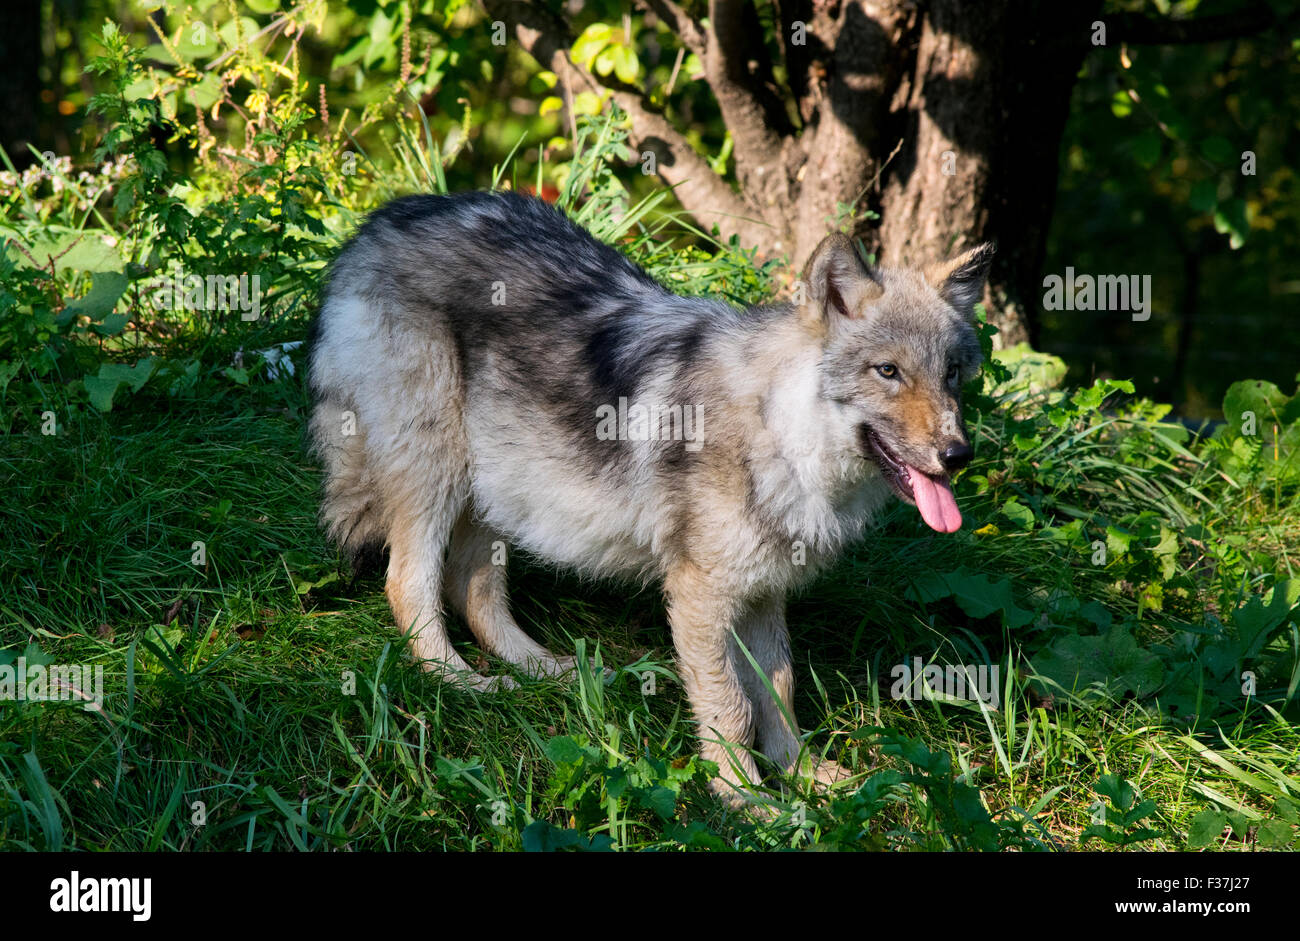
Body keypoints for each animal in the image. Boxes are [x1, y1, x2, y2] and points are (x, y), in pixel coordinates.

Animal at [307, 190, 991, 802]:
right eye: (889, 372)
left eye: (952, 373)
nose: (958, 455)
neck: (778, 435)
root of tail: (382, 219)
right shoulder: (698, 596)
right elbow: (733, 707)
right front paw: (746, 801)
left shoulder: (764, 593)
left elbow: (780, 691)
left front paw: (805, 778)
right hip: (439, 471)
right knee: (408, 582)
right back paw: (458, 682)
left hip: (502, 483)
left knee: (473, 589)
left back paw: (546, 671)